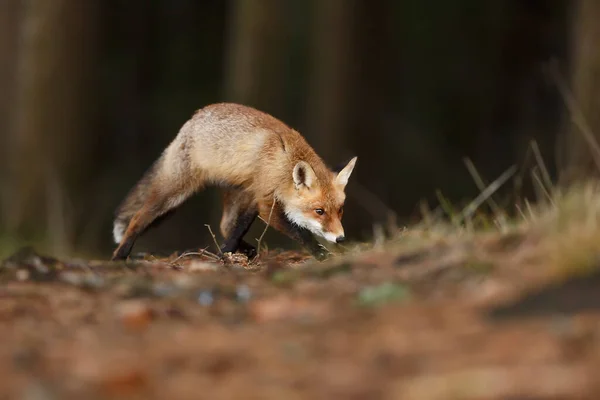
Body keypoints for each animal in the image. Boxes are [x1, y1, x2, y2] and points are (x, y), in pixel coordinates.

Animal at [111, 101, 356, 260]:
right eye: (319, 211)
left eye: (340, 210)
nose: (341, 238)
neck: (282, 164)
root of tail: (191, 120)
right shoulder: (266, 203)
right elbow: (301, 233)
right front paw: (321, 255)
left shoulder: (257, 197)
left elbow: (239, 228)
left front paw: (225, 253)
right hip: (175, 192)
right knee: (138, 218)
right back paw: (120, 256)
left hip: (240, 193)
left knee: (226, 225)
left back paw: (241, 250)